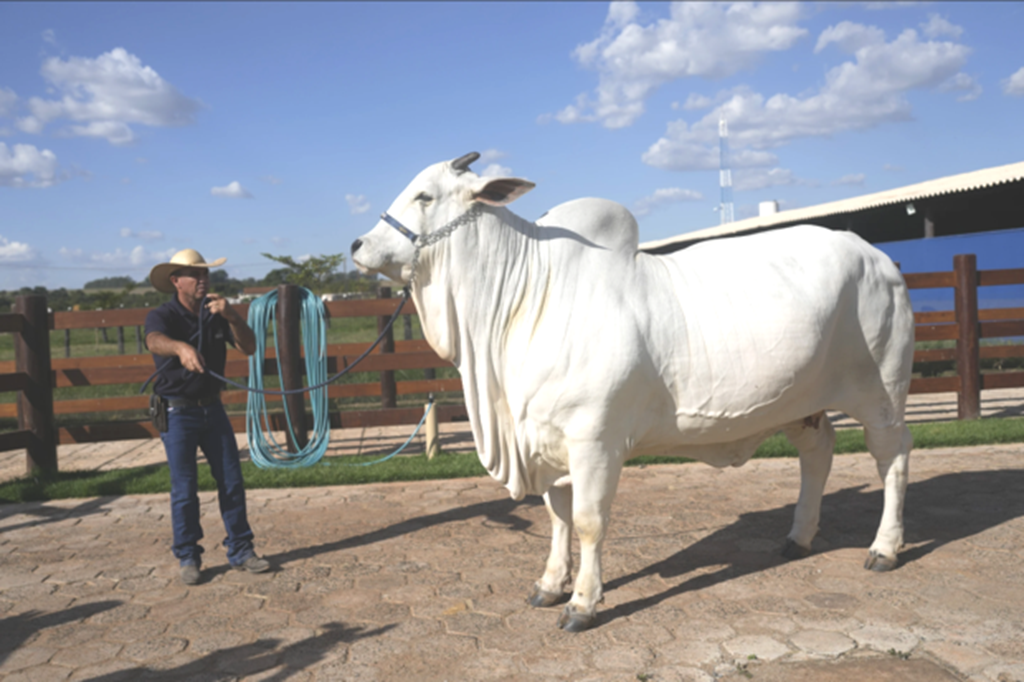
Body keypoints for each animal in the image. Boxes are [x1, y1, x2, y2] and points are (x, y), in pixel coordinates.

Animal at [351, 152, 915, 632]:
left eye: (425, 195)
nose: (357, 245)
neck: (523, 301)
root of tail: (878, 257)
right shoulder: (548, 441)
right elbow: (557, 517)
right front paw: (550, 584)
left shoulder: (594, 440)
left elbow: (588, 522)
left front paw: (583, 603)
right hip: (804, 404)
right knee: (818, 453)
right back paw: (799, 537)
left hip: (881, 394)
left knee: (892, 458)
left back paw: (884, 548)